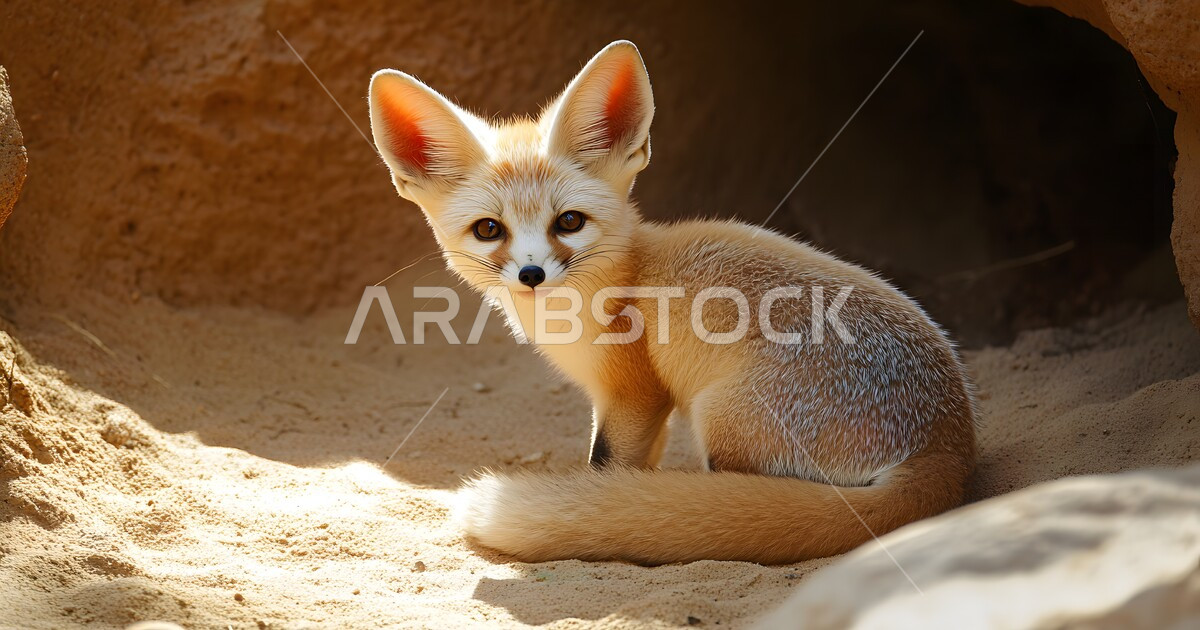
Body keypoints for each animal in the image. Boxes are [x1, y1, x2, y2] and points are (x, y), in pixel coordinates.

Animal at [367, 41, 977, 565]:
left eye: (569, 222)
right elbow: (625, 476)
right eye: (489, 230)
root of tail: (949, 444)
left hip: (721, 417)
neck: (620, 284)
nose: (532, 274)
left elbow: (604, 472)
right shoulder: (639, 408)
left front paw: (593, 516)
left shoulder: (635, 393)